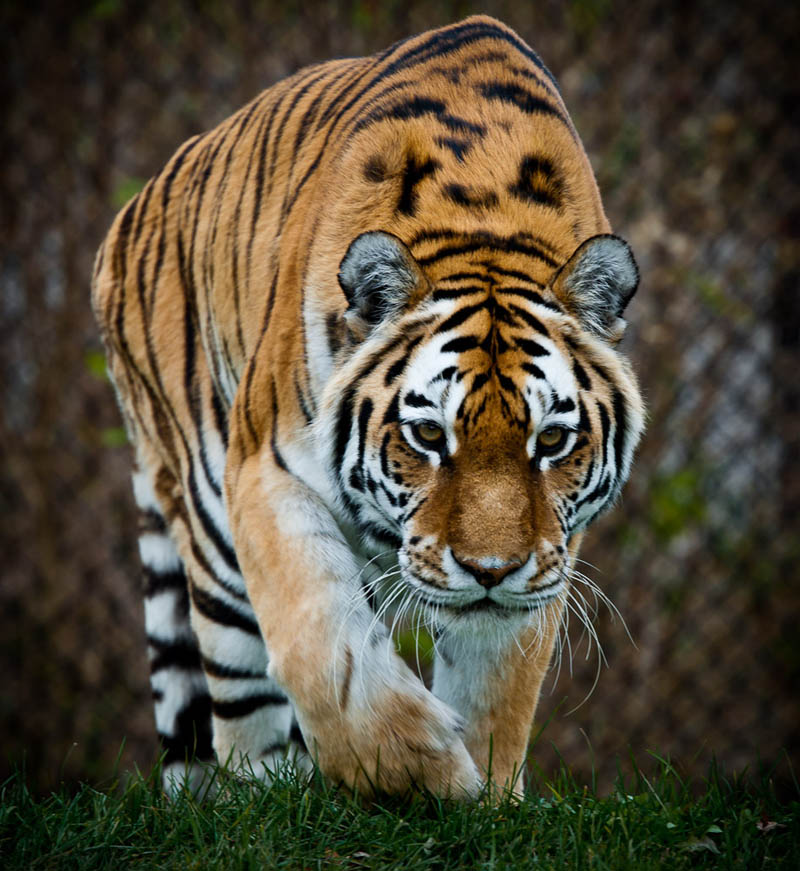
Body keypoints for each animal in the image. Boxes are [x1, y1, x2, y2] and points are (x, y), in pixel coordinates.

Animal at [91, 15, 645, 799]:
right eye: (428, 435)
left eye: (551, 441)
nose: (490, 570)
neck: (485, 226)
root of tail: (127, 218)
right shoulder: (264, 471)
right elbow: (319, 640)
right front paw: (414, 772)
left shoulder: (549, 551)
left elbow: (499, 686)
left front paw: (485, 793)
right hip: (207, 518)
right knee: (239, 711)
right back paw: (266, 795)